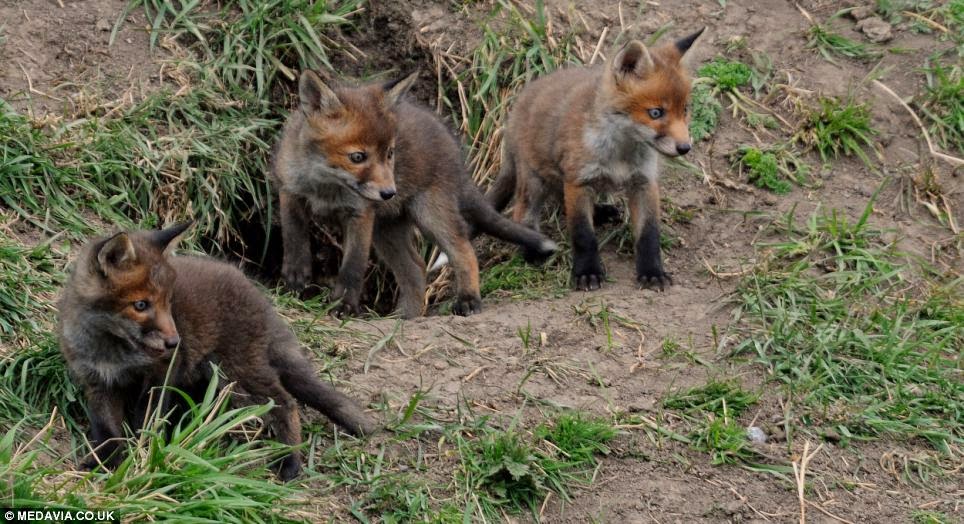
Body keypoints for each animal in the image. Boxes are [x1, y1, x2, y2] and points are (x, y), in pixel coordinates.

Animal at [56, 222, 376, 481]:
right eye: (141, 305)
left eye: (168, 301)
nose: (175, 342)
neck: (111, 350)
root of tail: (260, 295)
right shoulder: (97, 382)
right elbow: (106, 432)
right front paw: (106, 463)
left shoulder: (162, 372)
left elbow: (148, 418)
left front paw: (145, 454)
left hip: (236, 373)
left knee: (285, 403)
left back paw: (290, 462)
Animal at [272, 70, 558, 318]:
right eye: (358, 157)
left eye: (390, 153)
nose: (389, 192)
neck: (326, 185)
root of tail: (455, 150)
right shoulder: (289, 190)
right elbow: (293, 236)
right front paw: (294, 278)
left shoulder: (361, 214)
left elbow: (353, 266)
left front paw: (344, 306)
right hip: (386, 230)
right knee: (416, 268)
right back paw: (404, 317)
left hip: (430, 214)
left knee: (463, 250)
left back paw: (468, 299)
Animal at [486, 29, 706, 291]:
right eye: (656, 113)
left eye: (685, 110)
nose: (685, 148)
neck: (621, 153)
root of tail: (516, 106)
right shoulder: (578, 181)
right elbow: (583, 235)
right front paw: (587, 272)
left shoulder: (643, 182)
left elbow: (649, 235)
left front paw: (653, 272)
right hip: (534, 180)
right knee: (522, 214)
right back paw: (532, 252)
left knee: (560, 198)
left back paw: (600, 212)